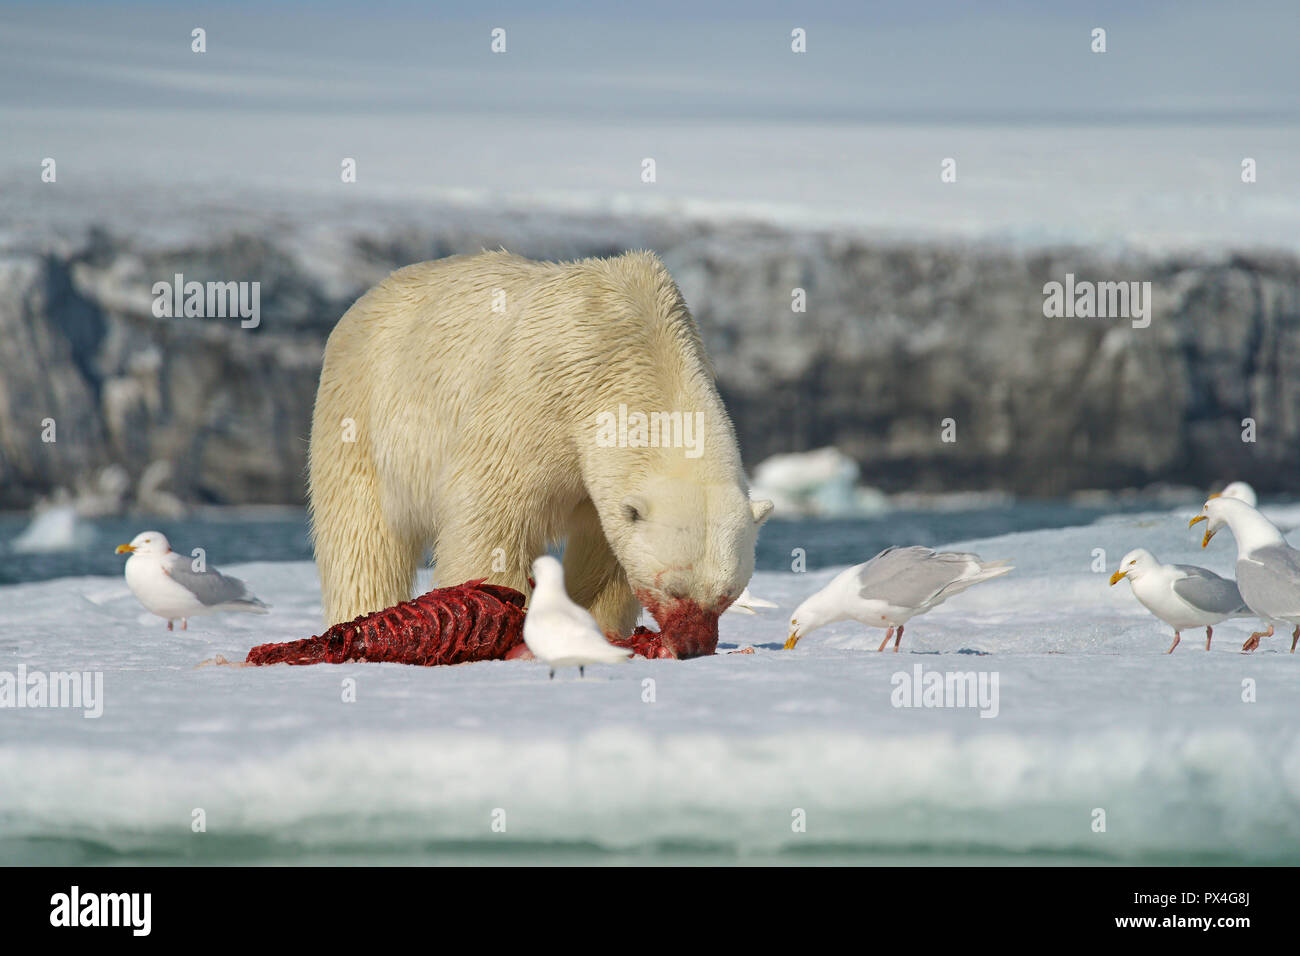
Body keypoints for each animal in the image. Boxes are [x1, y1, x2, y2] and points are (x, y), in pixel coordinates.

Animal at [307, 249, 773, 657]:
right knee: (360, 537)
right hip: (360, 411)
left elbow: (604, 552)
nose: (694, 648)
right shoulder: (541, 398)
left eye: (727, 594)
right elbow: (492, 513)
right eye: (673, 588)